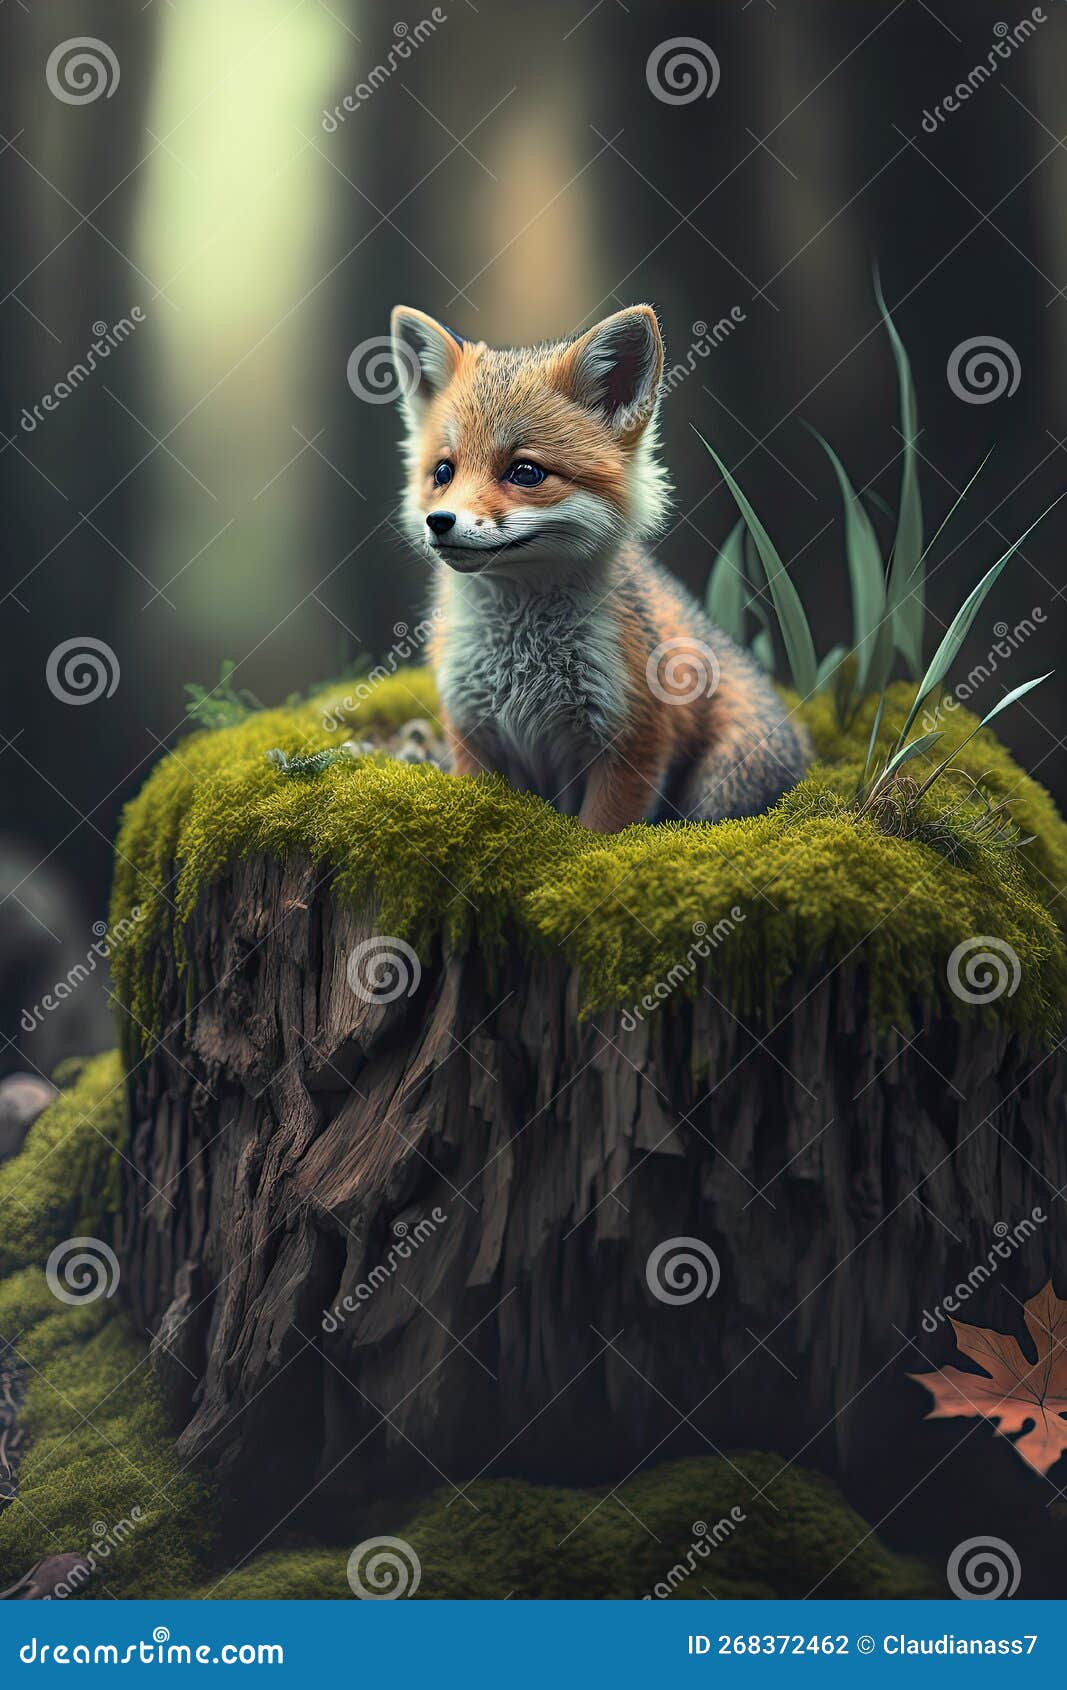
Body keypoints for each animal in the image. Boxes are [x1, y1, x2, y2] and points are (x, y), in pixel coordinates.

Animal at [390, 302, 812, 833]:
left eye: (525, 472)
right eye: (443, 472)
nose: (440, 521)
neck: (521, 664)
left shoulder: (634, 739)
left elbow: (599, 833)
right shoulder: (472, 732)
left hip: (719, 783)